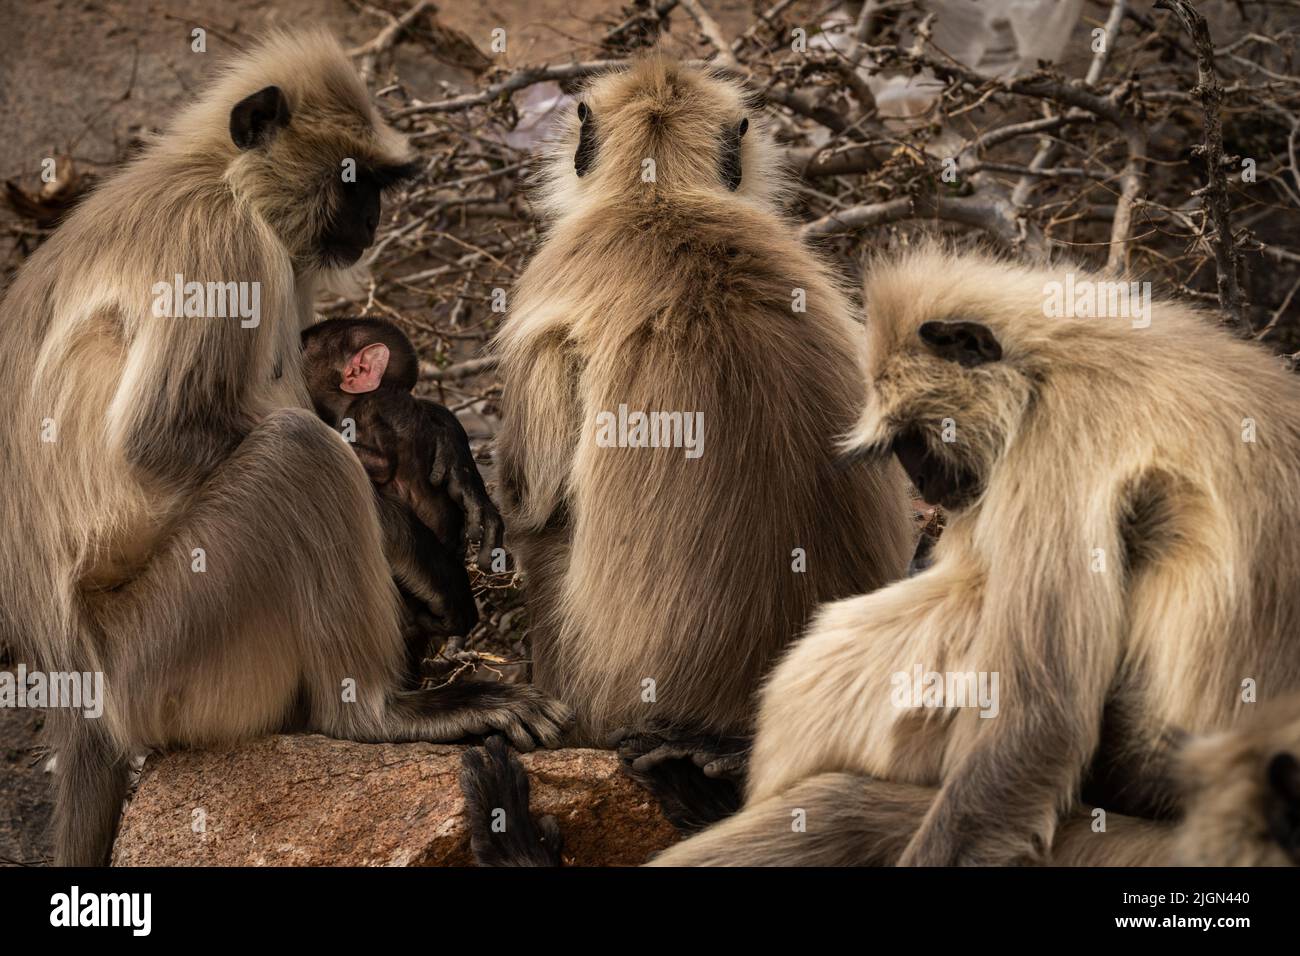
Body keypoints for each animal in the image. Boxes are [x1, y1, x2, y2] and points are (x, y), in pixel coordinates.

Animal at [641, 244, 1300, 866]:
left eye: (914, 437)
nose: (922, 480)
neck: (1060, 359)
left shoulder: (1055, 442)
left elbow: (1041, 719)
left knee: (841, 804)